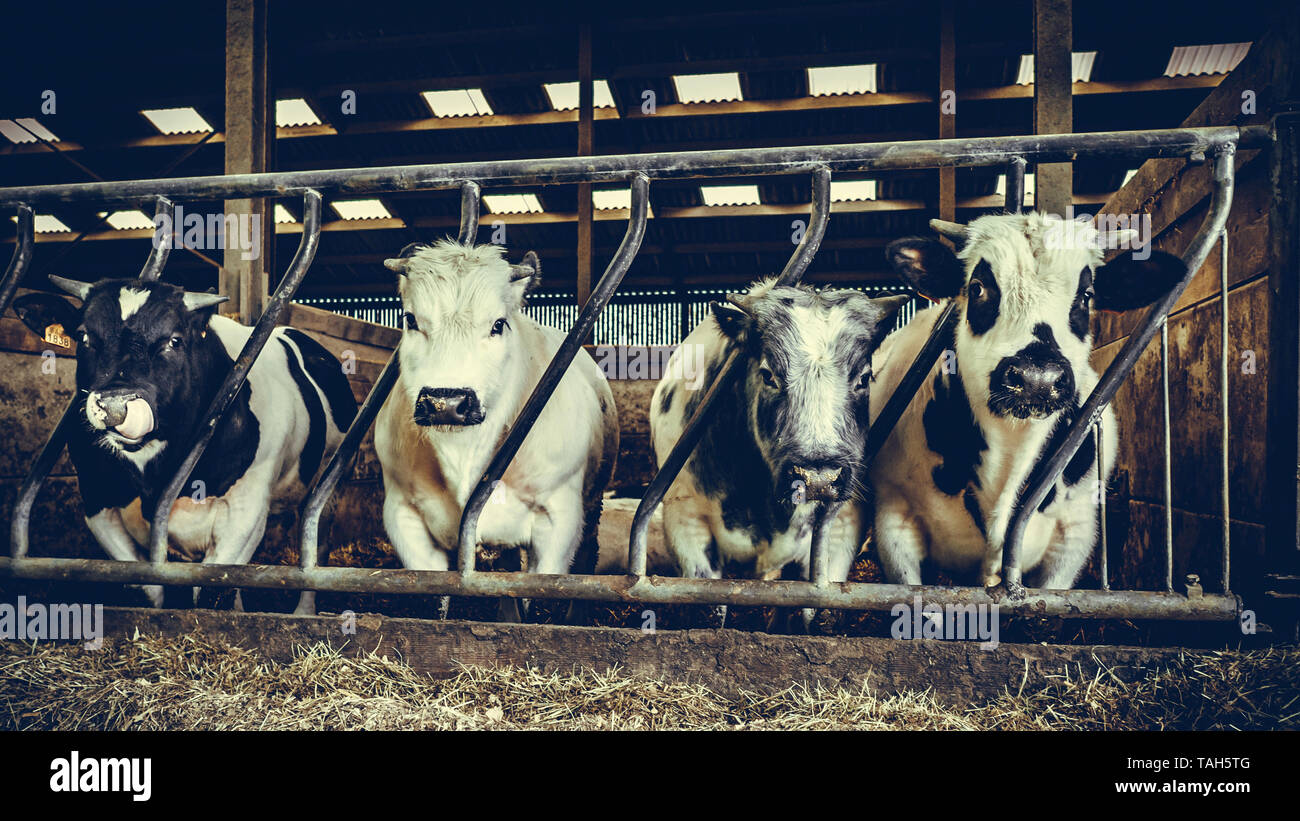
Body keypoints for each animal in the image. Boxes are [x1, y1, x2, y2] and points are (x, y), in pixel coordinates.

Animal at [12, 276, 358, 607]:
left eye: (174, 340)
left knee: (316, 542)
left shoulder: (247, 508)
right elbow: (149, 587)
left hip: (329, 489)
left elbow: (212, 591)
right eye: (84, 337)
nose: (114, 405)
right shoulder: (97, 499)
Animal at [374, 240, 618, 620]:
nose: (446, 402)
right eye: (411, 320)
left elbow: (539, 595)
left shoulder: (558, 518)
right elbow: (433, 593)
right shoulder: (403, 512)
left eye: (499, 324)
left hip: (592, 507)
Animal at [650, 278, 908, 629]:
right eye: (768, 374)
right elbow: (709, 609)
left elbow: (816, 609)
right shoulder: (686, 519)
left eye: (864, 377)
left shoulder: (840, 526)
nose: (818, 477)